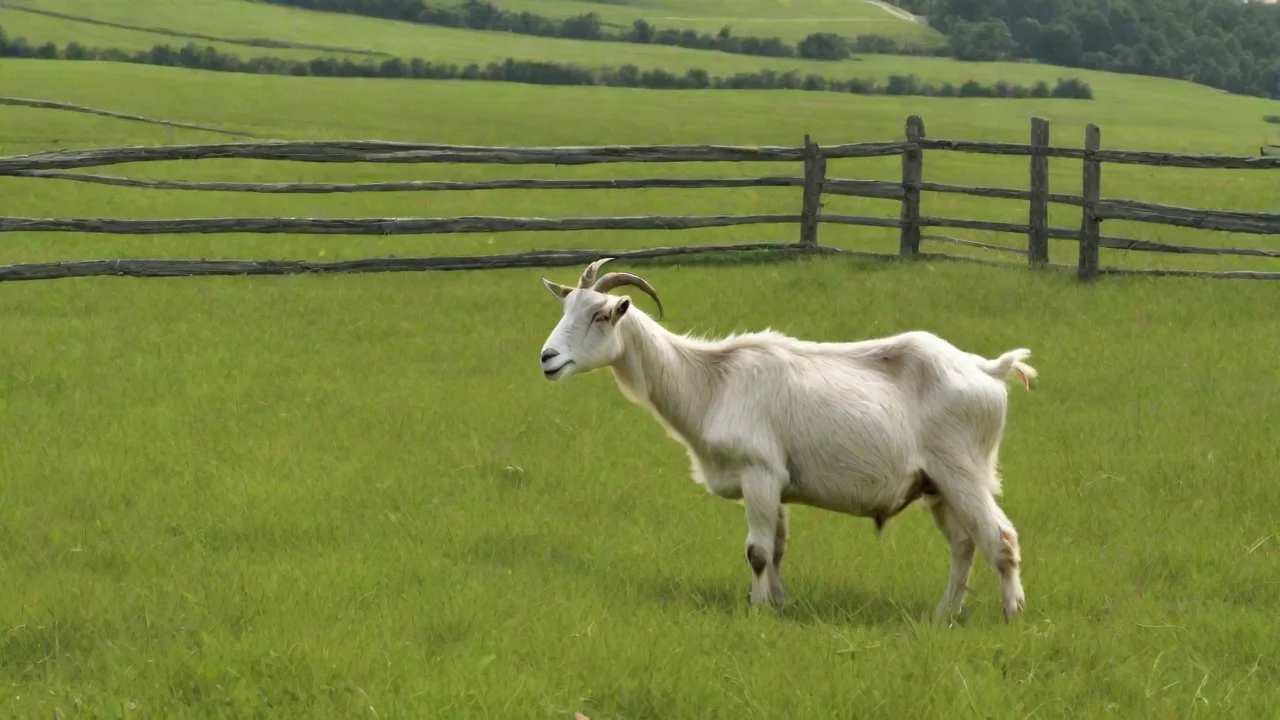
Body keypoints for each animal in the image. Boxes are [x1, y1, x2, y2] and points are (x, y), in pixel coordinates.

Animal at [537, 259, 1038, 621]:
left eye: (601, 315)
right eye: (565, 310)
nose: (548, 358)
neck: (711, 381)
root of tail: (989, 369)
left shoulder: (759, 471)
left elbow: (757, 552)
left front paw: (759, 611)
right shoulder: (774, 483)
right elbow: (776, 549)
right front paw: (779, 604)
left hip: (963, 471)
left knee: (1001, 538)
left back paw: (1012, 615)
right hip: (936, 485)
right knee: (965, 543)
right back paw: (943, 614)